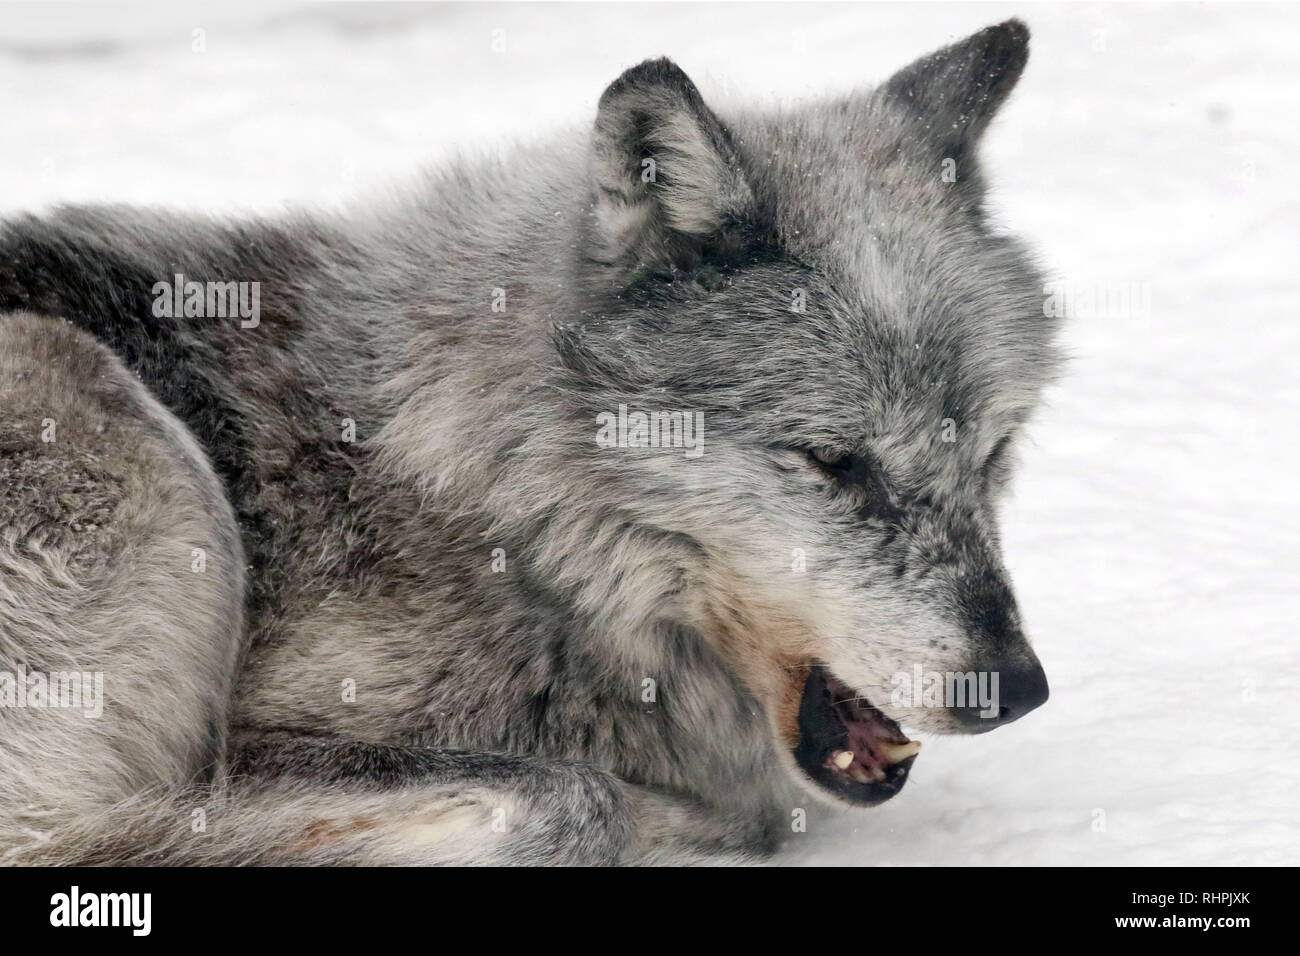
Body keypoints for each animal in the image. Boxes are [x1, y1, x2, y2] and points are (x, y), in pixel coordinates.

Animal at [0, 19, 1058, 865]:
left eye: (993, 452)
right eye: (835, 462)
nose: (1015, 688)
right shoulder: (250, 744)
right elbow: (574, 796)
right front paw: (680, 823)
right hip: (81, 388)